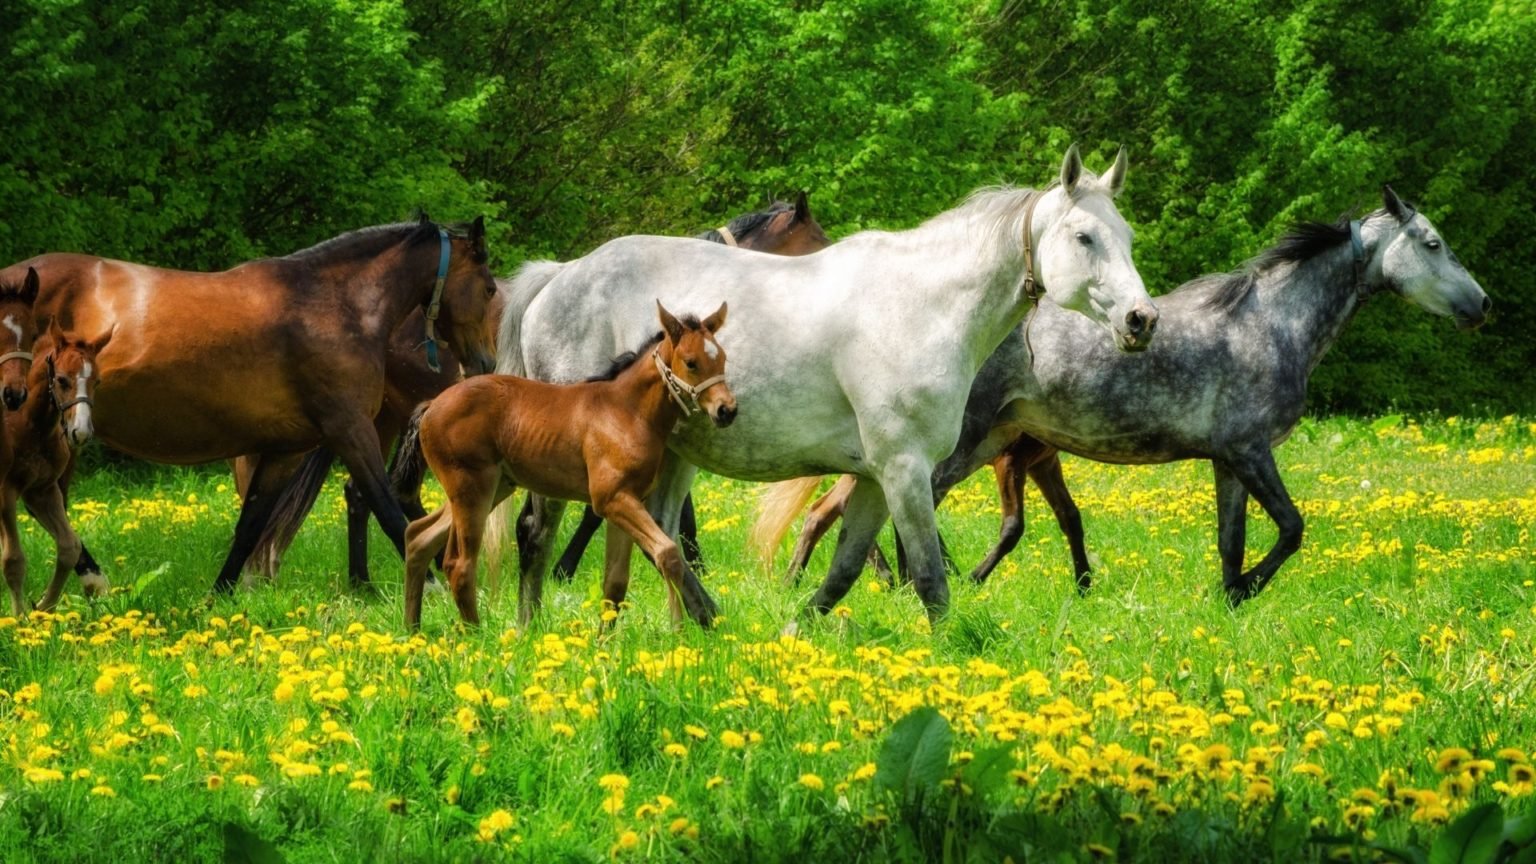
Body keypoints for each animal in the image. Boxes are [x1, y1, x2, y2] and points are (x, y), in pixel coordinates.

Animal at [2, 320, 111, 614]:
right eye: (61, 380)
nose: (81, 432)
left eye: (97, 381)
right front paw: (19, 618)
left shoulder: (42, 490)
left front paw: (43, 607)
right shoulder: (5, 492)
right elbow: (13, 560)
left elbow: (69, 548)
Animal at [399, 303, 735, 630]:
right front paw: (678, 630)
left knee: (418, 536)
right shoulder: (612, 499)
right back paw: (476, 635)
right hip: (472, 488)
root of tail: (431, 406)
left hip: (492, 487)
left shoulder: (627, 500)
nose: (727, 410)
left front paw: (603, 643)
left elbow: (616, 581)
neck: (627, 411)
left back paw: (413, 630)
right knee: (459, 564)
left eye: (723, 360)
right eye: (691, 363)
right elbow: (667, 553)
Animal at [502, 145, 1158, 624]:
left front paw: (794, 631)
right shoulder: (904, 470)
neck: (921, 304)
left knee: (660, 539)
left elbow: (841, 573)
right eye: (1084, 237)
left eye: (1126, 237)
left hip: (673, 456)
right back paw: (534, 629)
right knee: (538, 533)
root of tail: (560, 276)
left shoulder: (871, 478)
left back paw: (693, 629)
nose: (1141, 319)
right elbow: (929, 578)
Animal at [758, 186, 1490, 605]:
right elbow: (1291, 528)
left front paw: (1228, 599)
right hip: (957, 448)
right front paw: (1249, 590)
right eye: (1433, 242)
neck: (1270, 323)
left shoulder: (1228, 461)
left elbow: (1231, 542)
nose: (1481, 305)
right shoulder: (1252, 451)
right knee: (882, 515)